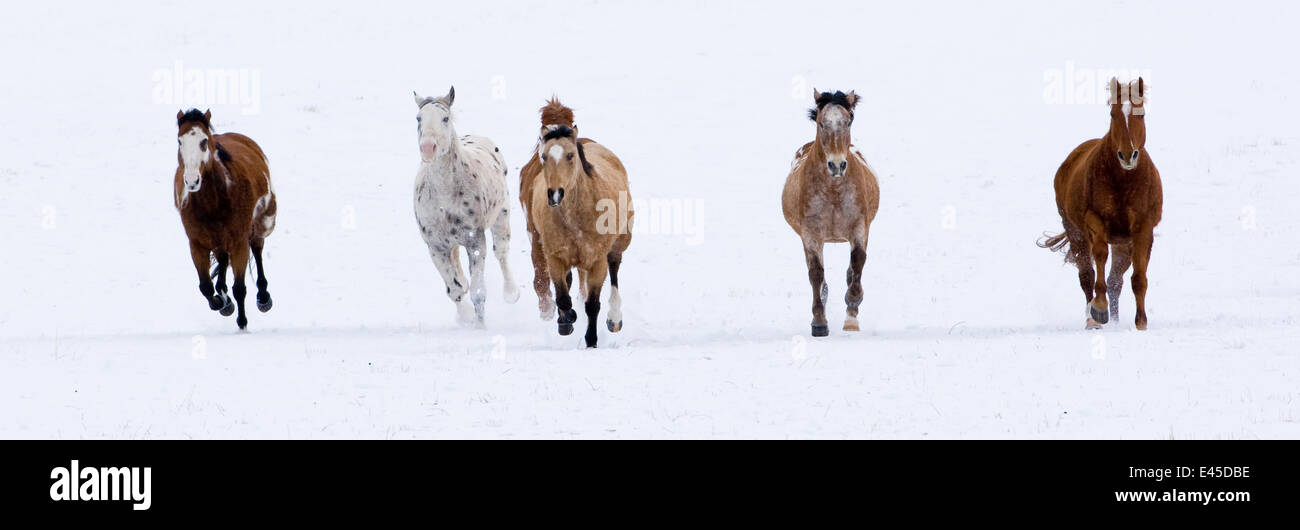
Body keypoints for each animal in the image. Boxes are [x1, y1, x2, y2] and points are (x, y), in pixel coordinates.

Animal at [174, 109, 277, 330]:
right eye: (179, 141)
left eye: (204, 141)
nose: (192, 181)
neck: (213, 203)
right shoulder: (197, 244)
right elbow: (205, 286)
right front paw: (222, 302)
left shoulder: (239, 242)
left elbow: (240, 288)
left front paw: (242, 322)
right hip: (218, 241)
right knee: (222, 259)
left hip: (261, 225)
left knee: (257, 249)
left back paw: (263, 298)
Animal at [412, 87, 519, 327]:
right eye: (418, 118)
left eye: (445, 118)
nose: (428, 148)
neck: (444, 198)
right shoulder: (436, 247)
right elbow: (455, 289)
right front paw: (466, 317)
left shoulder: (475, 241)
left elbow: (478, 291)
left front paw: (480, 325)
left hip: (502, 214)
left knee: (502, 252)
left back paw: (511, 293)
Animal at [522, 98, 633, 348]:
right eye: (544, 156)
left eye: (571, 155)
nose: (555, 194)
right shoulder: (554, 256)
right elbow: (563, 296)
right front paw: (566, 321)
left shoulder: (597, 260)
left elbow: (593, 304)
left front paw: (591, 340)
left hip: (620, 242)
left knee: (615, 267)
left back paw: (614, 319)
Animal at [781, 90, 880, 337]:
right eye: (821, 123)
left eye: (849, 120)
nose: (836, 165)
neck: (834, 191)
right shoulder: (811, 234)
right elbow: (816, 273)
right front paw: (819, 323)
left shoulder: (859, 227)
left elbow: (857, 263)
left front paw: (852, 314)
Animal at [1039, 78, 1162, 330]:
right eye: (1113, 114)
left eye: (1142, 114)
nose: (1128, 155)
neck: (1124, 181)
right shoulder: (1095, 221)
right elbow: (1099, 259)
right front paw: (1100, 309)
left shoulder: (1143, 227)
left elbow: (1138, 277)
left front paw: (1141, 322)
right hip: (1075, 232)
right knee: (1087, 274)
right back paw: (1093, 319)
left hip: (1123, 244)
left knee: (1116, 279)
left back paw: (1113, 319)